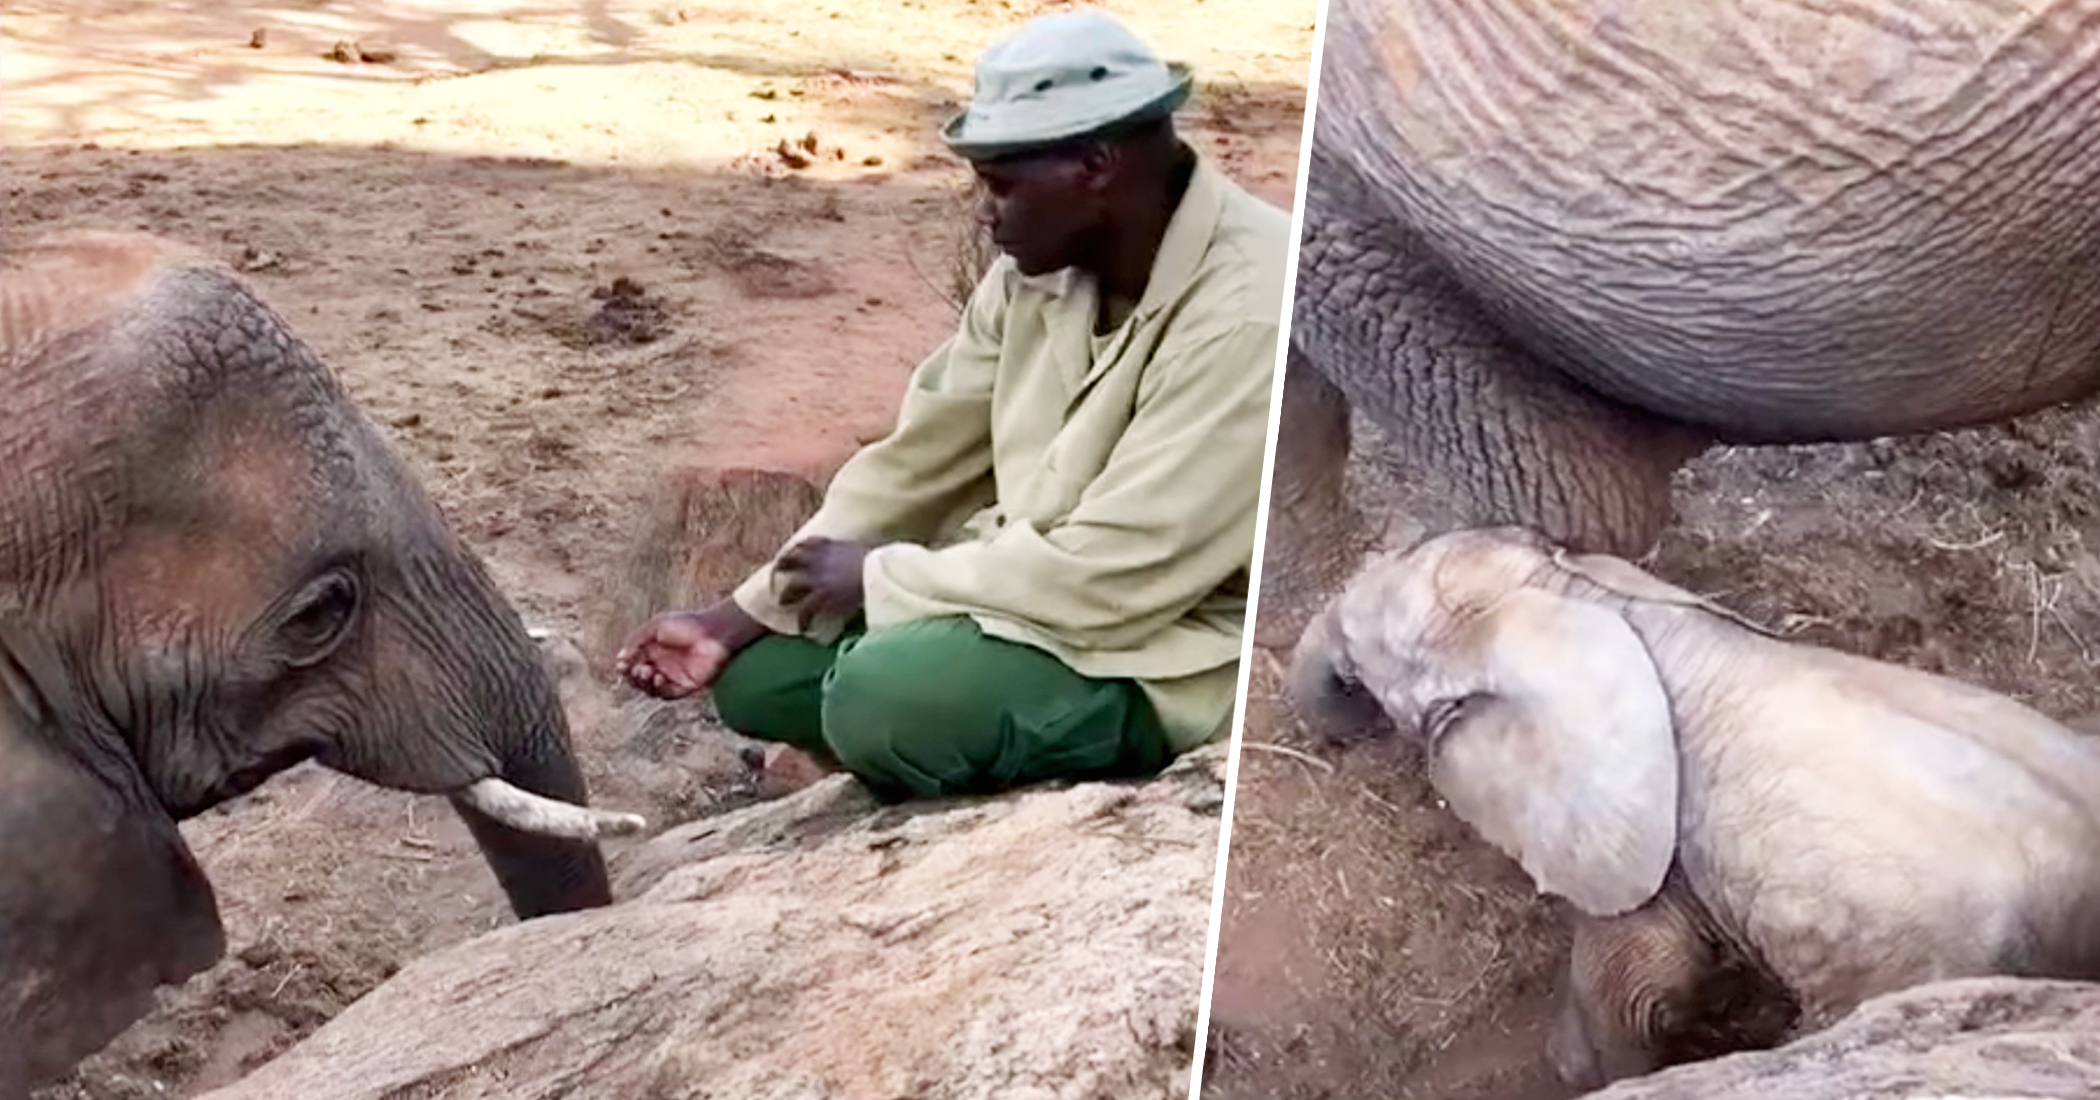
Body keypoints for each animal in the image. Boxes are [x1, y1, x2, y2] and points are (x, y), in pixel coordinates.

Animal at [1286, 524, 2100, 1088]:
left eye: (1362, 650)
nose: (1339, 735)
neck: (1577, 595)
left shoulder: (1655, 852)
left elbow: (1632, 988)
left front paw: (1579, 1072)